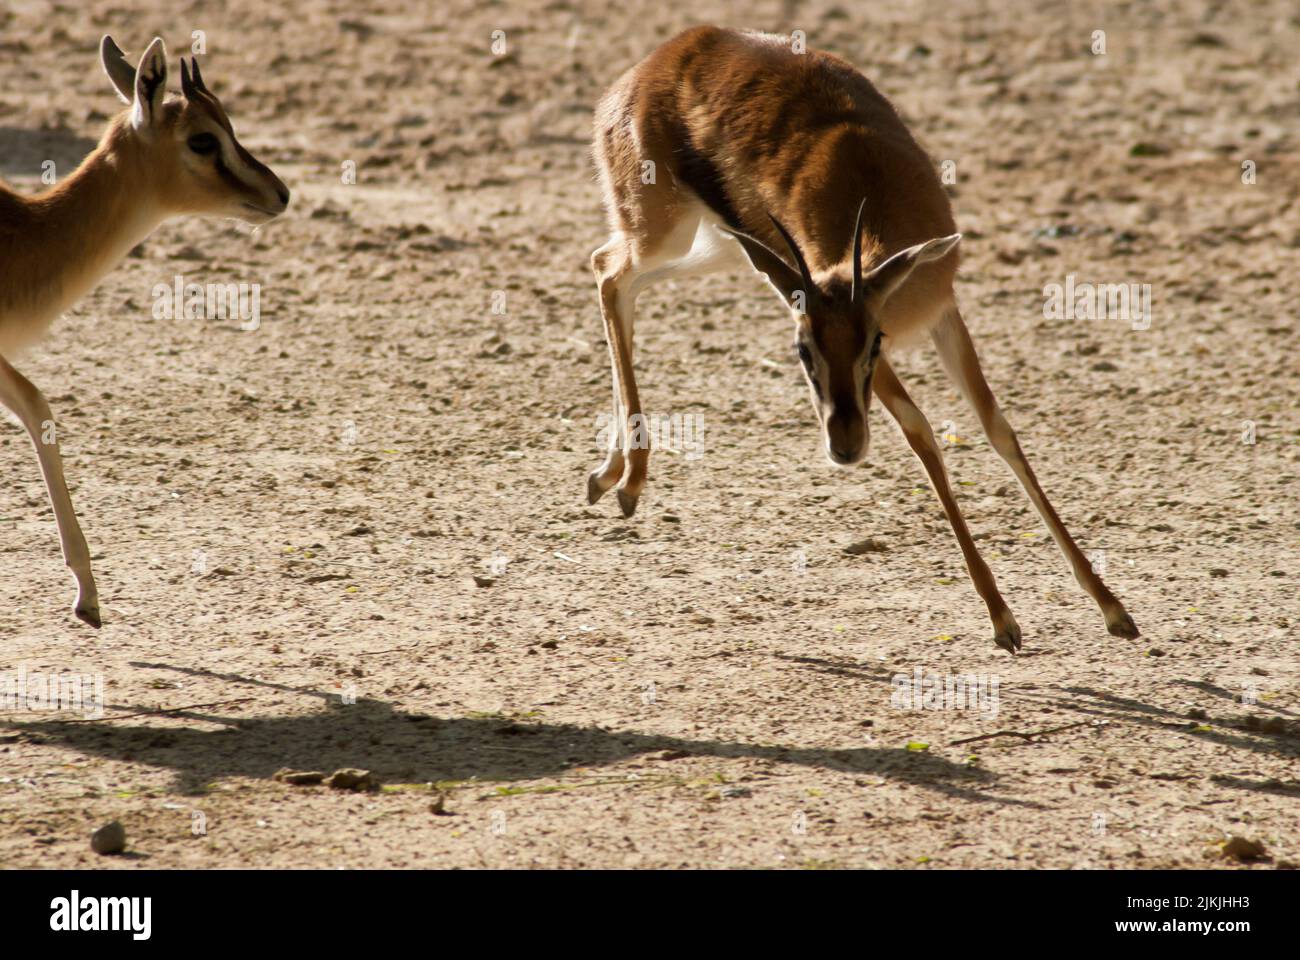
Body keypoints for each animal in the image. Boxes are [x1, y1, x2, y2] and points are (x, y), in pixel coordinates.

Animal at [586, 27, 1138, 653]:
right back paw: (629, 481)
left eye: (870, 342)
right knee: (609, 273)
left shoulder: (939, 317)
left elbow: (998, 428)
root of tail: (659, 59)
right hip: (671, 232)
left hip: (719, 248)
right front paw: (1002, 617)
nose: (844, 446)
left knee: (614, 277)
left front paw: (1112, 607)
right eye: (802, 350)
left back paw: (611, 479)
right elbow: (922, 432)